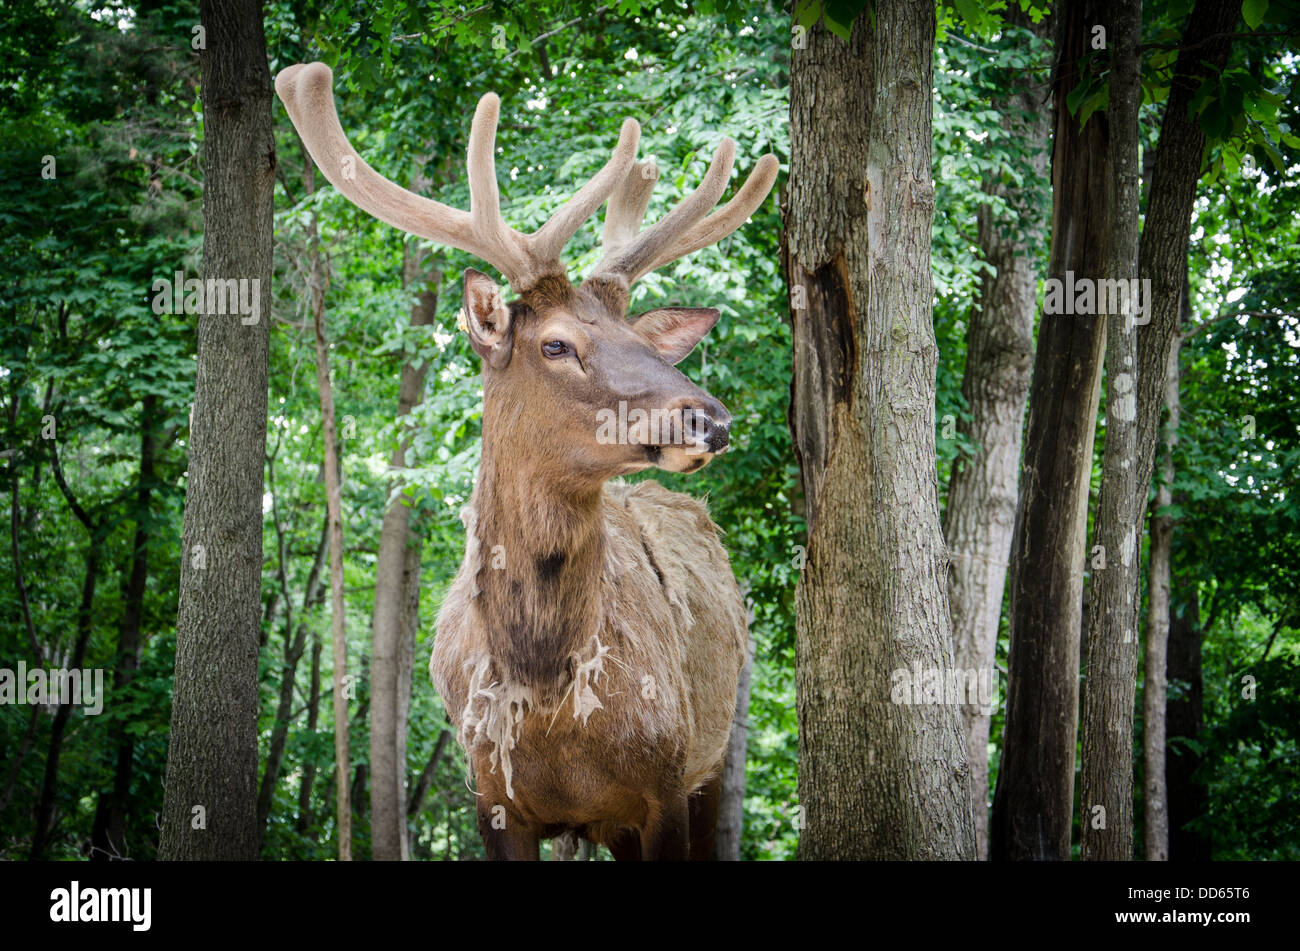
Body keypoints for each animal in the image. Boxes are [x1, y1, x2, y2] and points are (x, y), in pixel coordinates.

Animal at [275, 62, 777, 860]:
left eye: (641, 340)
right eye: (558, 343)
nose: (711, 419)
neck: (547, 701)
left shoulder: (665, 784)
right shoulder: (494, 797)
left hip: (718, 750)